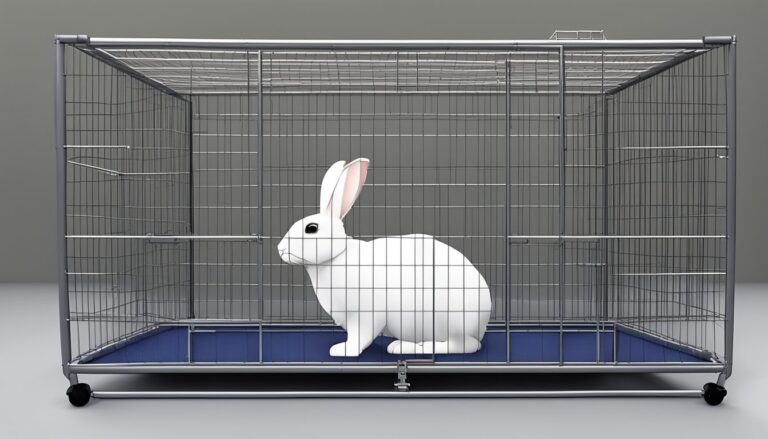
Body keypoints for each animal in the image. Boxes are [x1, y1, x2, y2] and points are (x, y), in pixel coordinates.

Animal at [277, 158, 492, 357]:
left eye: (311, 228)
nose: (280, 248)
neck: (337, 257)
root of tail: (483, 323)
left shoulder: (365, 314)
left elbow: (360, 336)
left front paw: (343, 350)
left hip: (450, 319)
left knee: (465, 345)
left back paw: (416, 347)